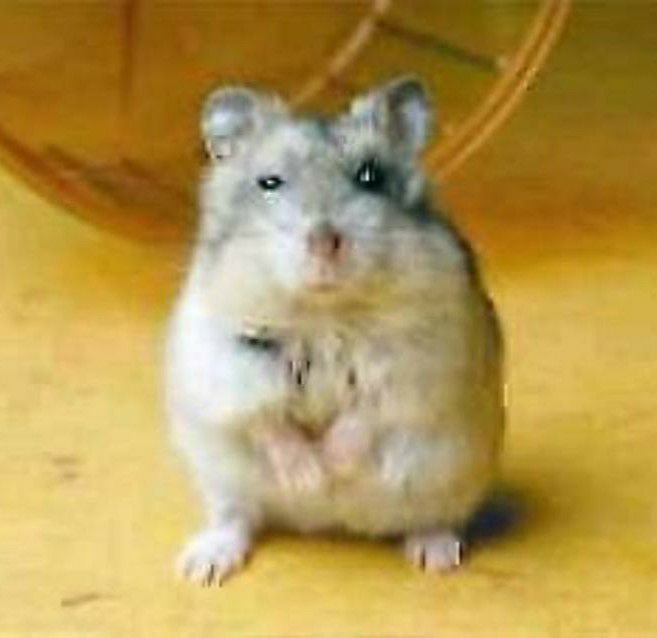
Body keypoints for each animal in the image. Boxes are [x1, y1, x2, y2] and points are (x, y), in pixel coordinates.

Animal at [165, 76, 504, 585]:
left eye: (370, 177)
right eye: (269, 182)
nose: (324, 242)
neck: (324, 314)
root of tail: (331, 523)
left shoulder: (415, 361)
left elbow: (363, 415)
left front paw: (330, 469)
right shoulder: (232, 364)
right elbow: (269, 420)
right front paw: (309, 478)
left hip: (455, 476)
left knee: (435, 519)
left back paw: (435, 557)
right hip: (219, 475)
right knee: (237, 518)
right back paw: (202, 566)